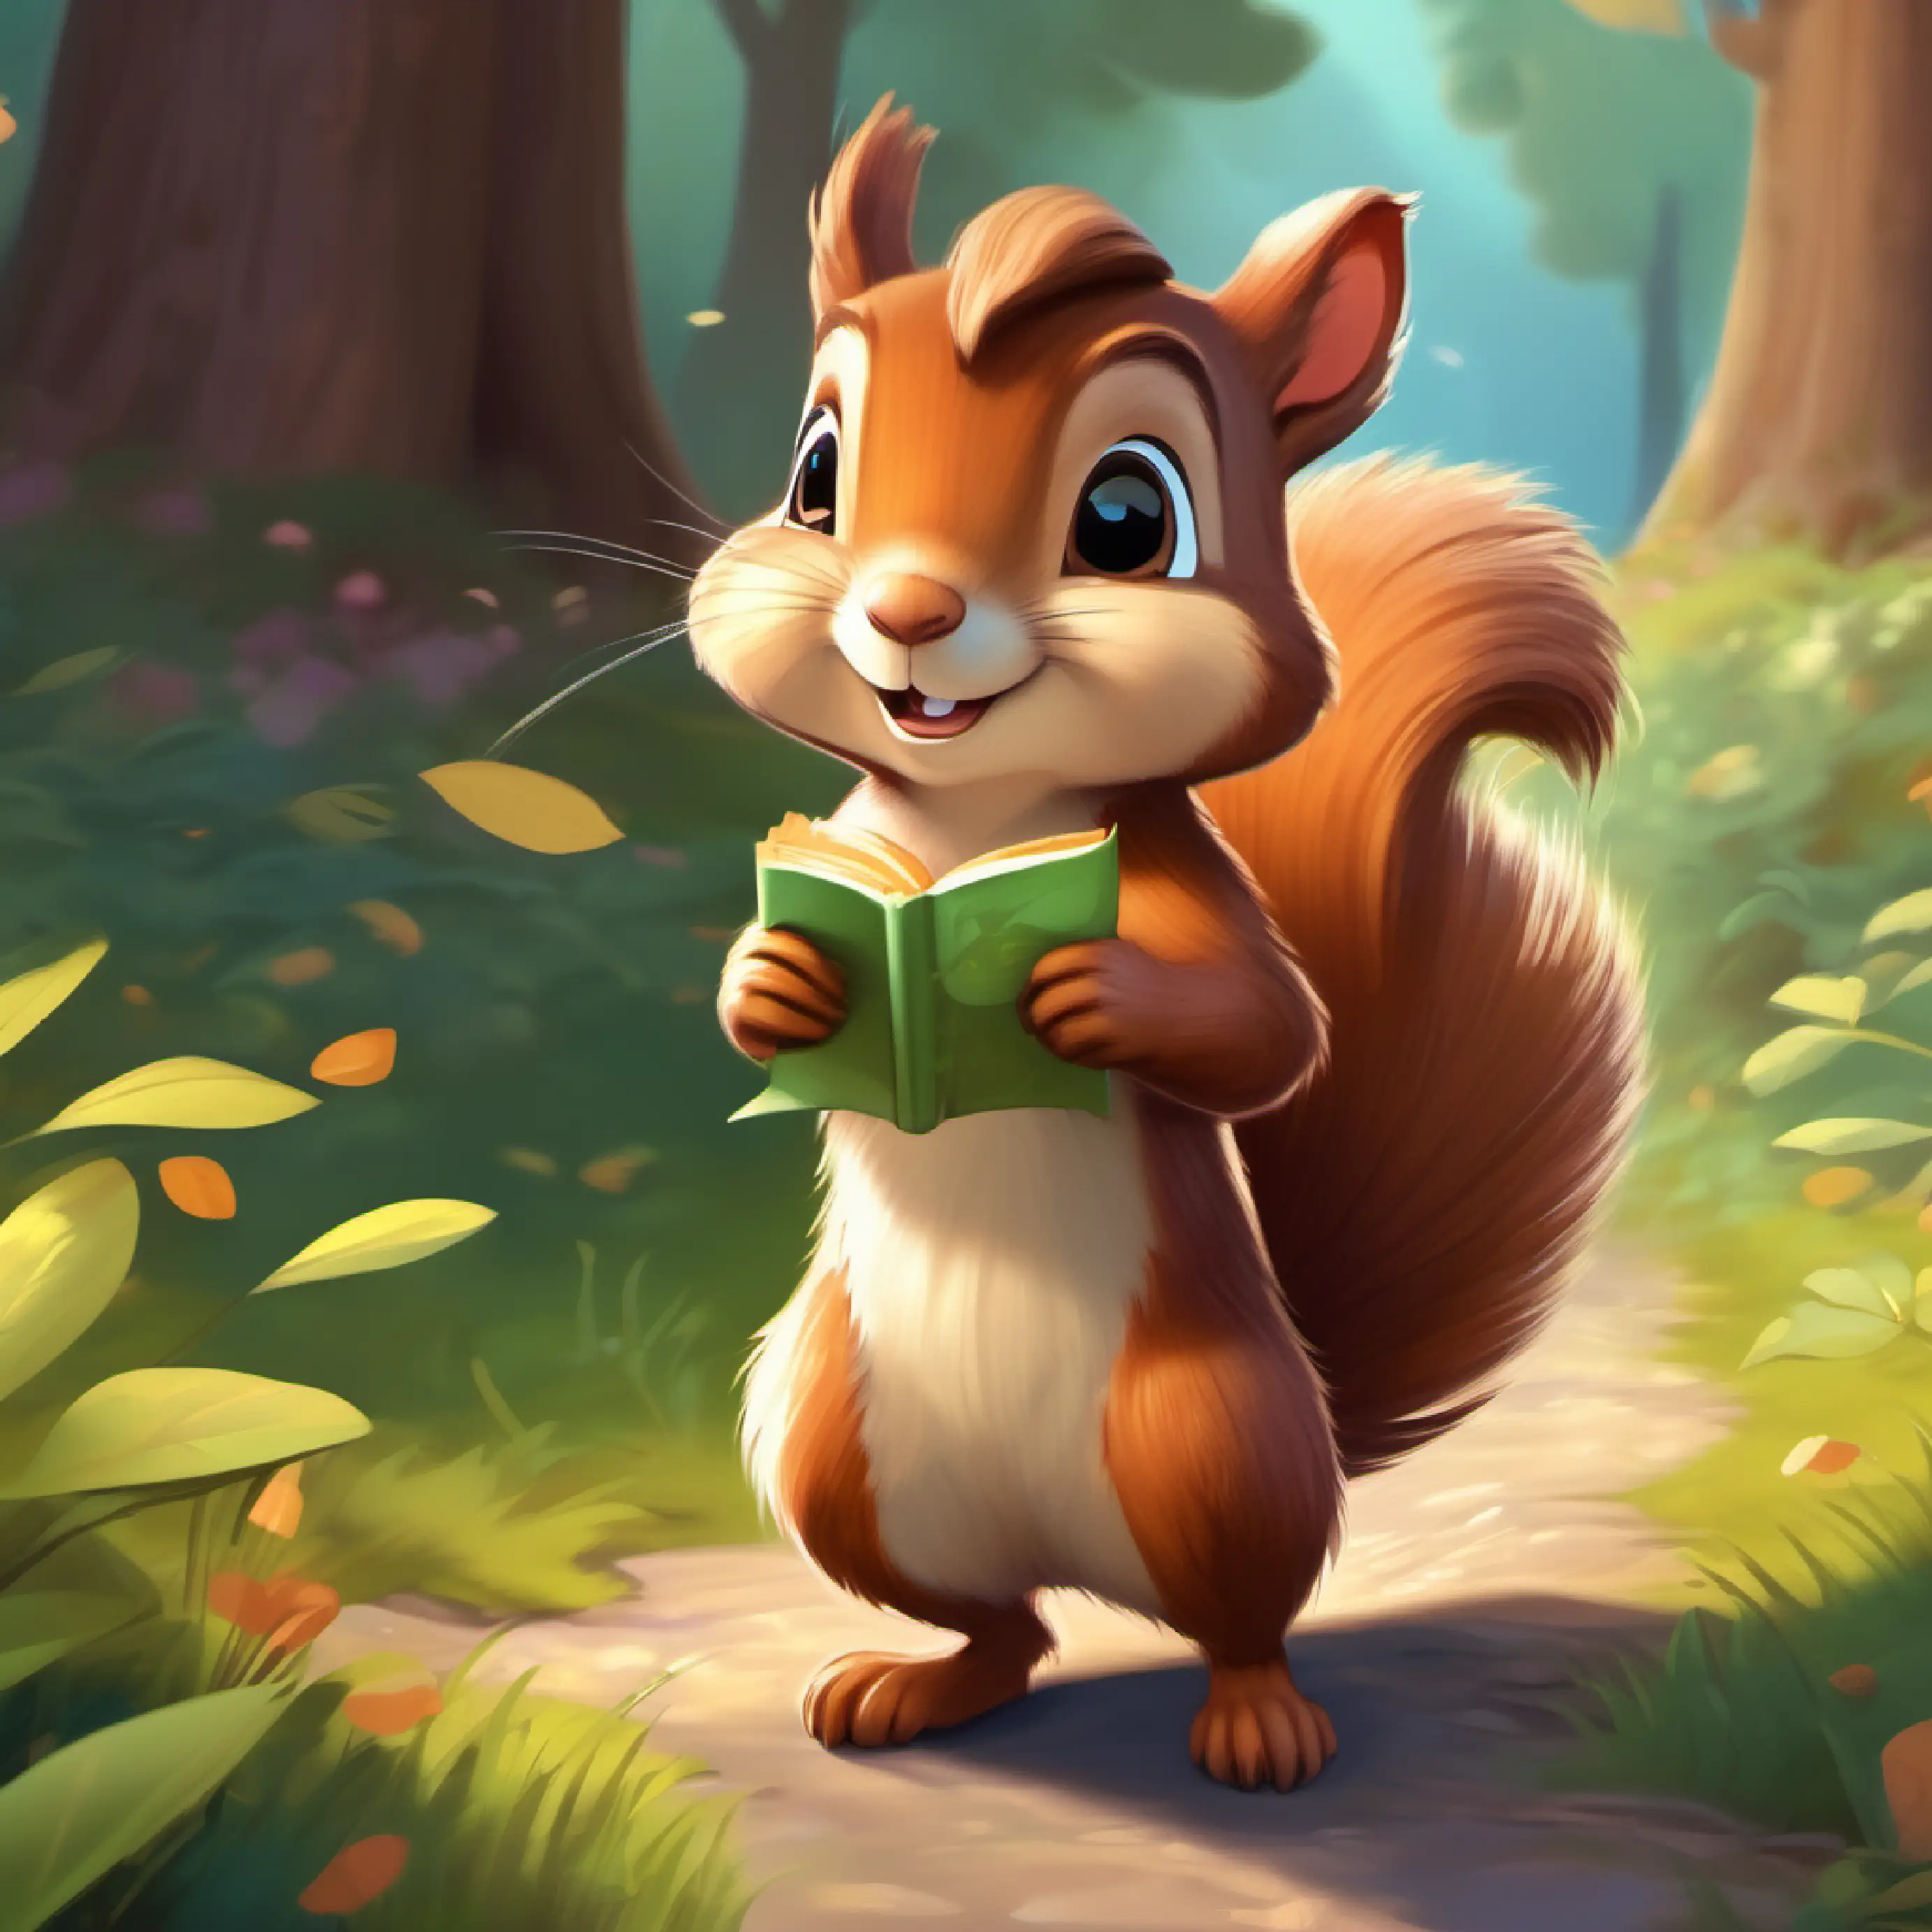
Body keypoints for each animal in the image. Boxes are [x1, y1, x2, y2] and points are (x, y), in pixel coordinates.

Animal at [690, 95, 1643, 1792]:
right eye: (813, 473)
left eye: (1129, 517)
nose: (908, 610)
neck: (974, 818)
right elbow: (752, 1002)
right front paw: (777, 976)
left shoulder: (1186, 875)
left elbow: (1271, 1033)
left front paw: (1089, 991)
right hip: (832, 1454)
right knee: (1003, 1630)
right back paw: (910, 1684)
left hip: (1213, 1444)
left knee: (1239, 1613)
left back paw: (1259, 1721)